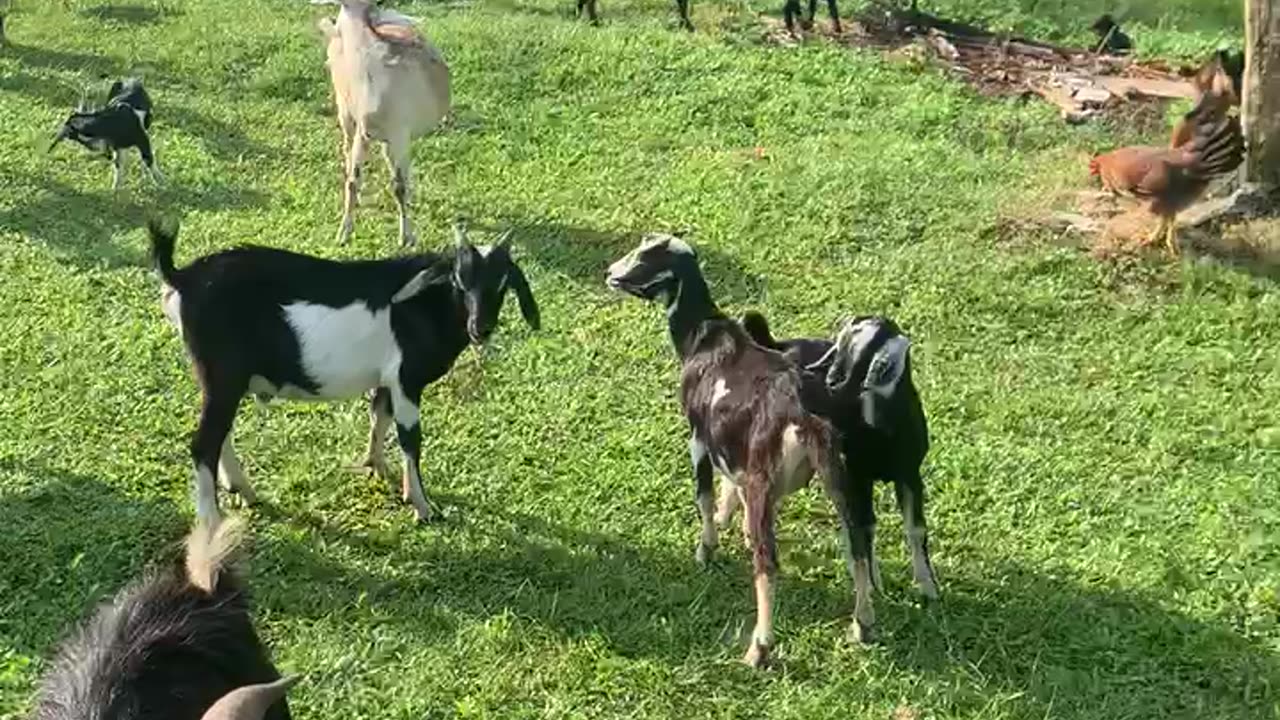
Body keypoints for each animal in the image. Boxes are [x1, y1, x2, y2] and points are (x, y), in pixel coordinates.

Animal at [148, 219, 540, 527]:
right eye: (460, 281)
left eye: (503, 283)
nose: (481, 328)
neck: (422, 304)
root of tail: (183, 277)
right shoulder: (406, 378)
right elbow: (411, 439)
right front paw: (422, 506)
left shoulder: (387, 380)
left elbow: (379, 415)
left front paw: (377, 467)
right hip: (223, 374)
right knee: (204, 443)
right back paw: (212, 520)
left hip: (224, 381)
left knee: (220, 434)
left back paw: (242, 489)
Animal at [316, 0, 450, 246]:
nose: (332, 23)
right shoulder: (363, 130)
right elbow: (353, 180)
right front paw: (343, 233)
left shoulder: (400, 132)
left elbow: (399, 186)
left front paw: (406, 237)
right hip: (345, 112)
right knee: (348, 152)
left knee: (397, 170)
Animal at [606, 234, 876, 668]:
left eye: (644, 257)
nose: (611, 273)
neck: (705, 337)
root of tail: (805, 414)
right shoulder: (734, 450)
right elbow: (729, 485)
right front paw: (729, 521)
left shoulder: (699, 436)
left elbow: (703, 494)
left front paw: (706, 548)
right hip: (841, 476)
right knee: (858, 543)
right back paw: (863, 624)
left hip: (765, 477)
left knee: (769, 561)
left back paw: (759, 648)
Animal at [741, 310, 938, 600]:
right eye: (842, 345)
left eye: (869, 354)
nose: (831, 380)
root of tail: (779, 344)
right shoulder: (857, 475)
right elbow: (865, 527)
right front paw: (872, 584)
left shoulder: (909, 473)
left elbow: (915, 528)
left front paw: (928, 587)